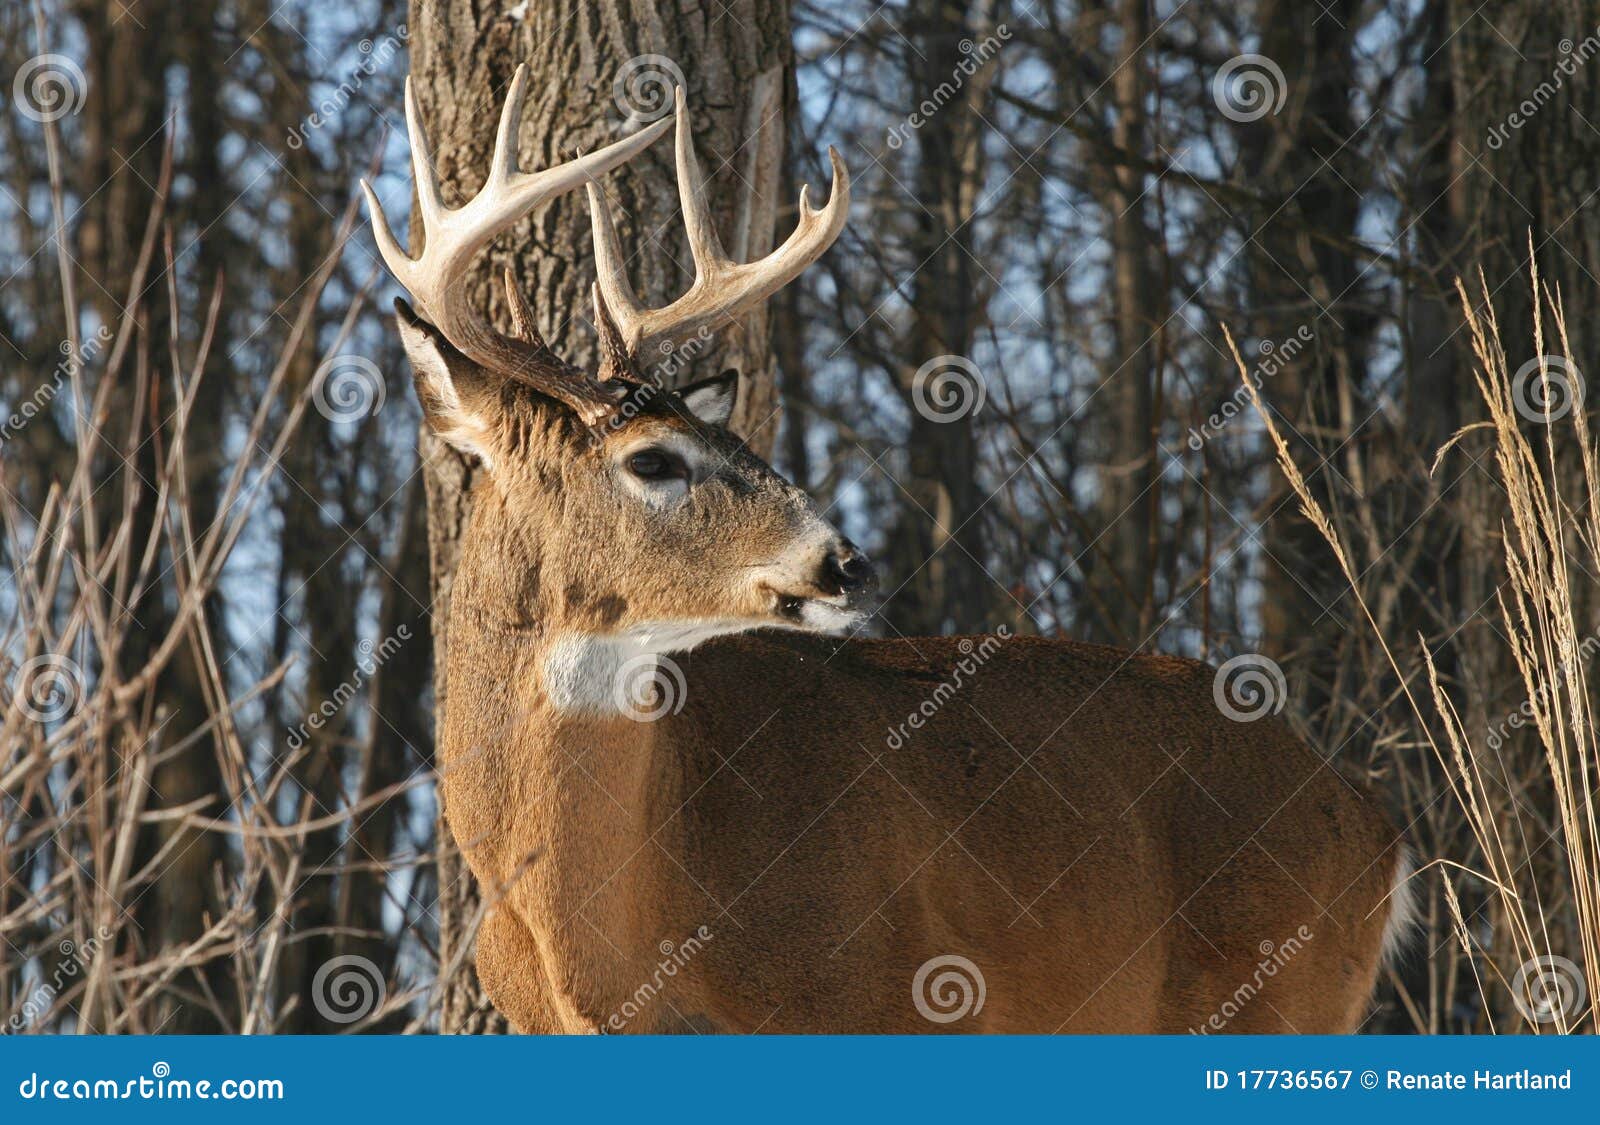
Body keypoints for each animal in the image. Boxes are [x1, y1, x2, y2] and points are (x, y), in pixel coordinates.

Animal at [363, 64, 1416, 1034]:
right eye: (653, 457)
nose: (847, 563)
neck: (603, 945)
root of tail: (1375, 823)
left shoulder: (902, 995)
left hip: (1281, 992)